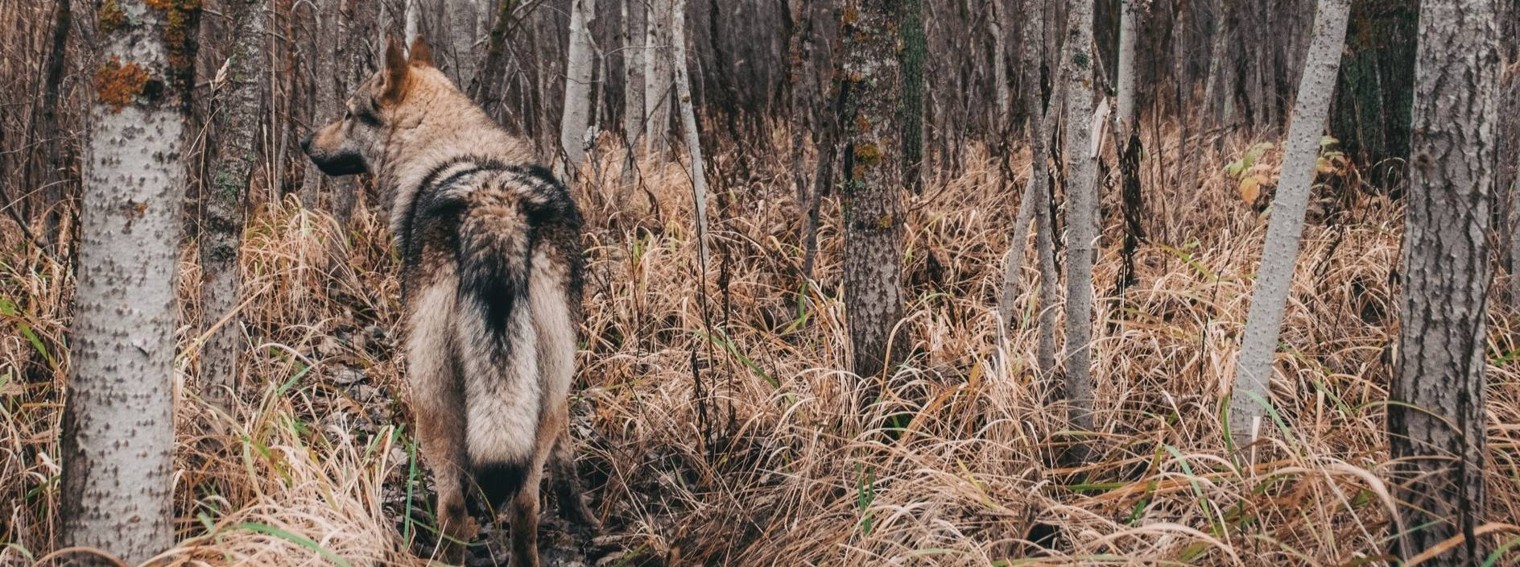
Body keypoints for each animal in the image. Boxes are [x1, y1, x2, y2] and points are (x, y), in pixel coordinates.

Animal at [302, 36, 597, 565]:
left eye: (350, 113)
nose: (305, 142)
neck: (452, 144)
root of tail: (494, 212)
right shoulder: (557, 397)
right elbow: (562, 452)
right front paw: (580, 513)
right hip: (543, 386)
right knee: (524, 504)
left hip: (428, 398)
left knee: (453, 510)